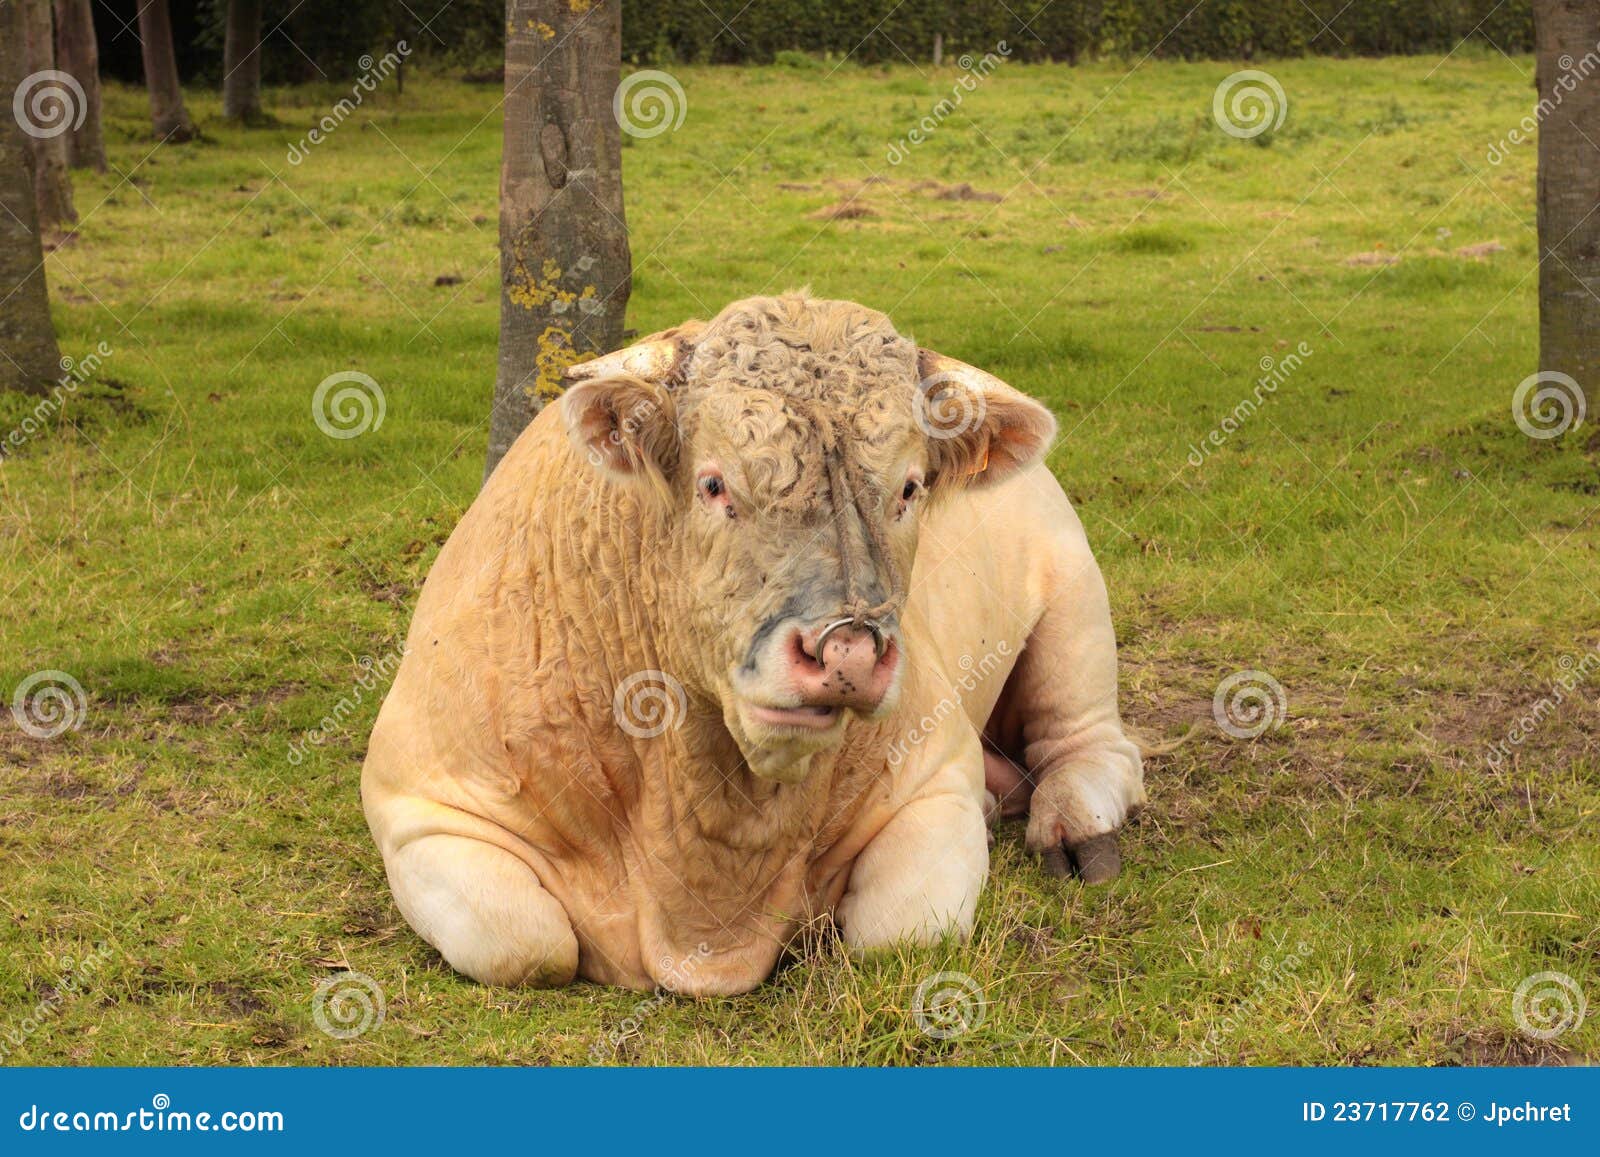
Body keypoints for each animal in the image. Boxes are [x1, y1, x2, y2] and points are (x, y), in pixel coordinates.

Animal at [361, 293, 1146, 995]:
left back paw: (1075, 825)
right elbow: (523, 942)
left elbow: (900, 931)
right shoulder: (417, 801)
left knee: (1093, 744)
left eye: (910, 488)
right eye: (714, 484)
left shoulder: (935, 777)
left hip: (1076, 601)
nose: (848, 650)